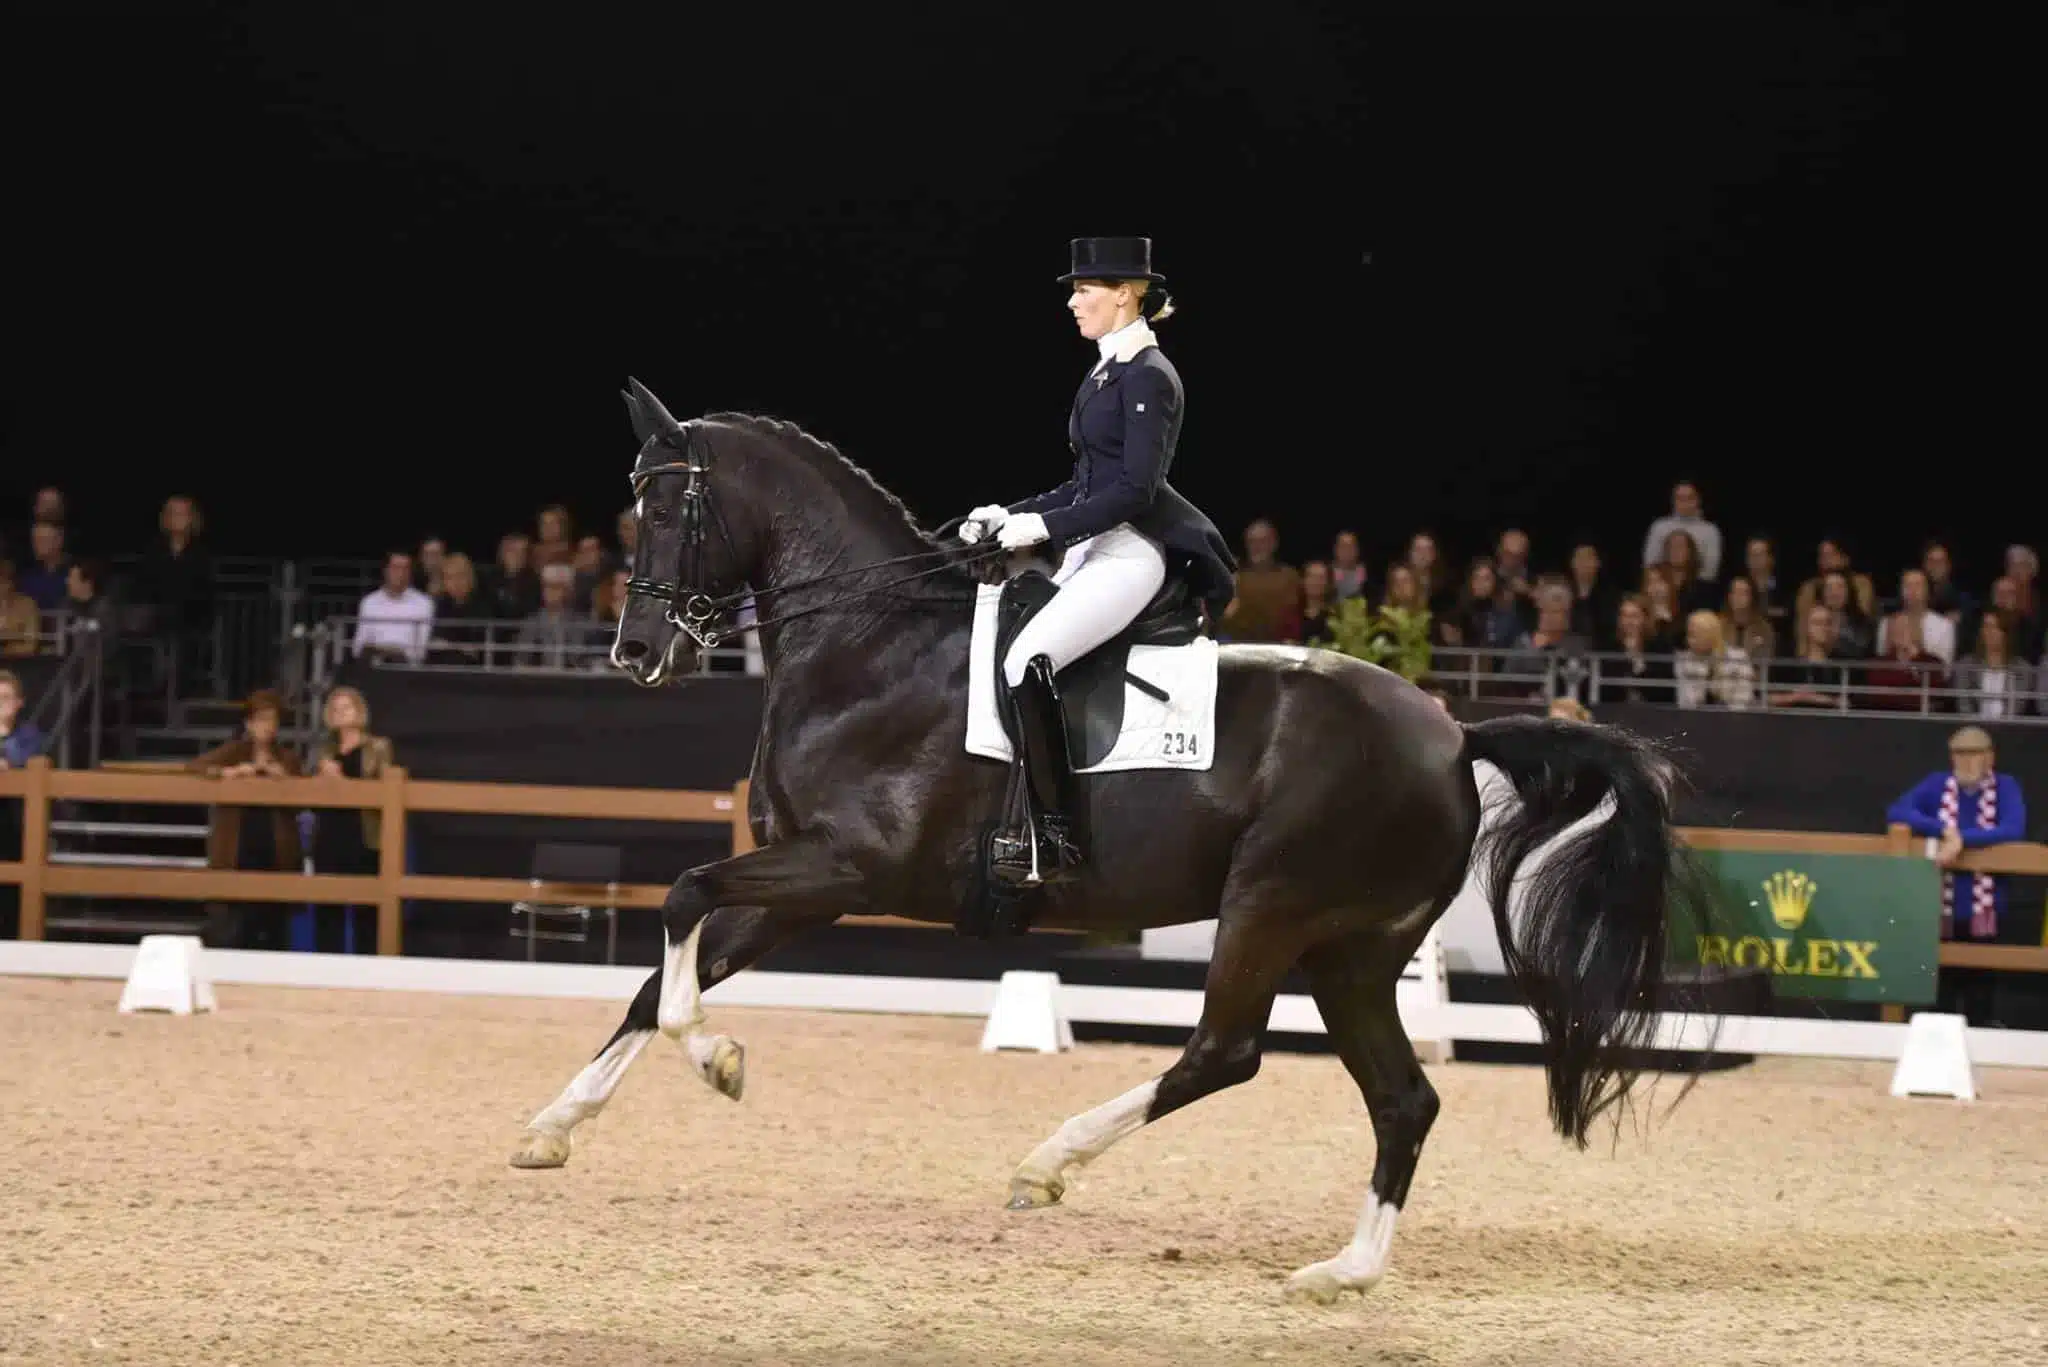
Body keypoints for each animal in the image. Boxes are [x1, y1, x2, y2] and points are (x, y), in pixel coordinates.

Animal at [507, 379, 1713, 1302]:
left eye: (671, 510)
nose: (635, 652)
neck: (868, 643)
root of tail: (1455, 732)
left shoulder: (847, 865)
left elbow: (679, 896)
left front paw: (718, 1060)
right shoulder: (803, 883)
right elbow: (667, 963)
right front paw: (552, 1126)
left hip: (1272, 907)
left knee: (1225, 1050)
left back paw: (1049, 1164)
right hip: (1352, 949)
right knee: (1401, 1098)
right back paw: (1344, 1272)